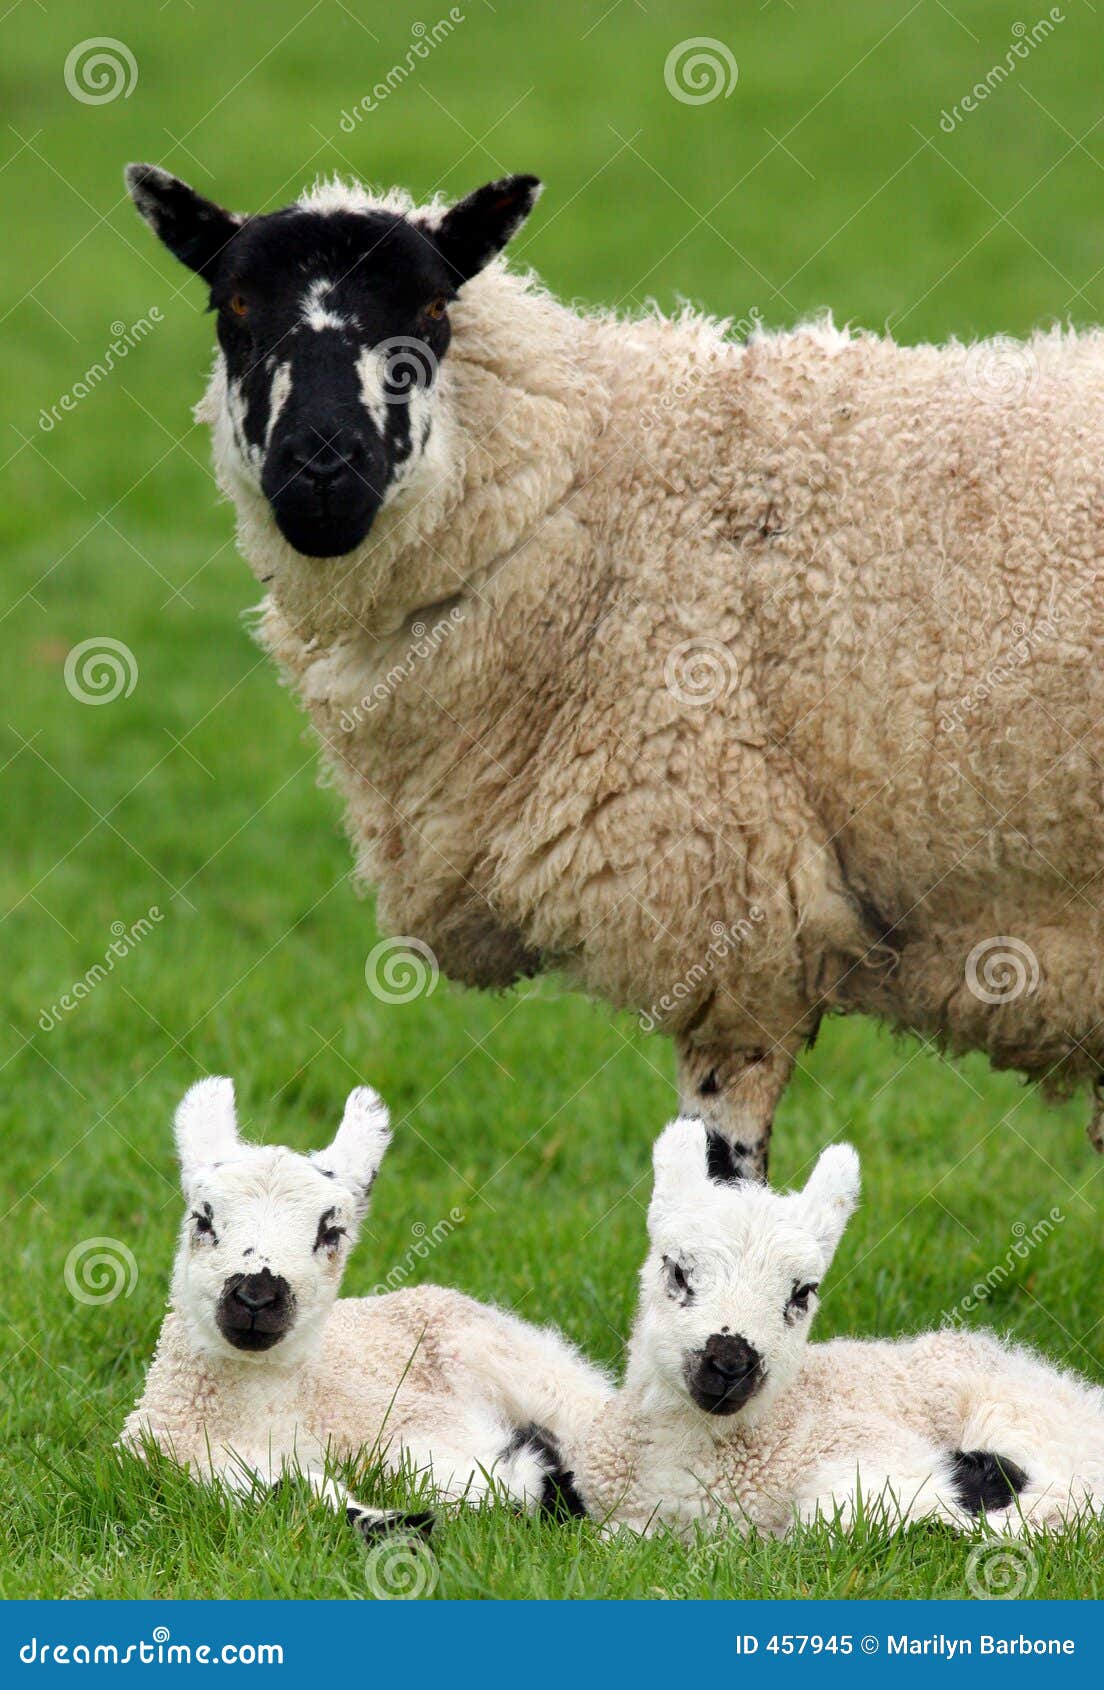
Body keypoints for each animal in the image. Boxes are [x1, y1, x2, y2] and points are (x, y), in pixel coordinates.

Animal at [119, 1078, 611, 1538]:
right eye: (202, 1220)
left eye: (332, 1232)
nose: (255, 1297)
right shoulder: (176, 1462)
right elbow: (298, 1496)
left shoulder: (417, 1421)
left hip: (523, 1364)